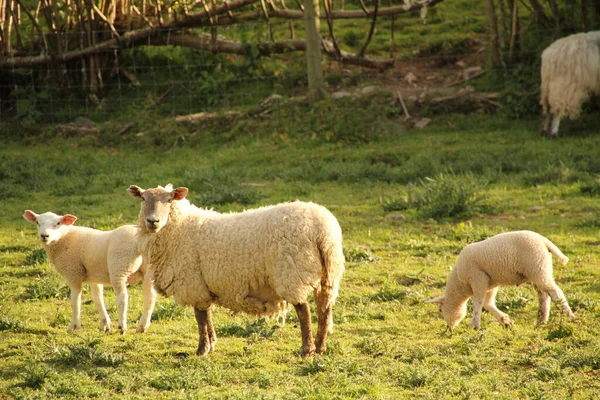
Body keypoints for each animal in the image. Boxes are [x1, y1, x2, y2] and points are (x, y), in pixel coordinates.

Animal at [22, 211, 157, 332]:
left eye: (58, 223)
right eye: (38, 223)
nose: (44, 236)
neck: (64, 238)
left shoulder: (73, 272)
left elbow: (75, 299)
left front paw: (74, 325)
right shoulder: (94, 276)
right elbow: (97, 299)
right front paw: (104, 324)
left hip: (119, 266)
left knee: (123, 297)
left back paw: (122, 326)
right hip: (149, 269)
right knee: (150, 296)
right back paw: (142, 326)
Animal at [126, 184, 344, 356]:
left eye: (169, 200)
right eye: (143, 198)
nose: (152, 221)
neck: (178, 228)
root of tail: (323, 230)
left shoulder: (193, 282)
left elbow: (200, 318)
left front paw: (202, 349)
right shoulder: (204, 285)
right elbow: (207, 316)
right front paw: (212, 343)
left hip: (292, 272)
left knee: (304, 310)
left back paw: (307, 350)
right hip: (328, 275)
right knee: (324, 309)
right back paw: (320, 347)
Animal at [426, 230, 576, 330]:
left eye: (440, 310)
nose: (448, 328)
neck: (460, 283)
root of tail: (544, 240)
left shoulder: (478, 279)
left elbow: (478, 302)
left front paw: (474, 325)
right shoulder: (489, 283)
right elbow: (488, 303)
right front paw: (505, 321)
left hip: (537, 268)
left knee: (555, 293)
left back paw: (570, 317)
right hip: (539, 270)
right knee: (544, 295)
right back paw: (541, 321)